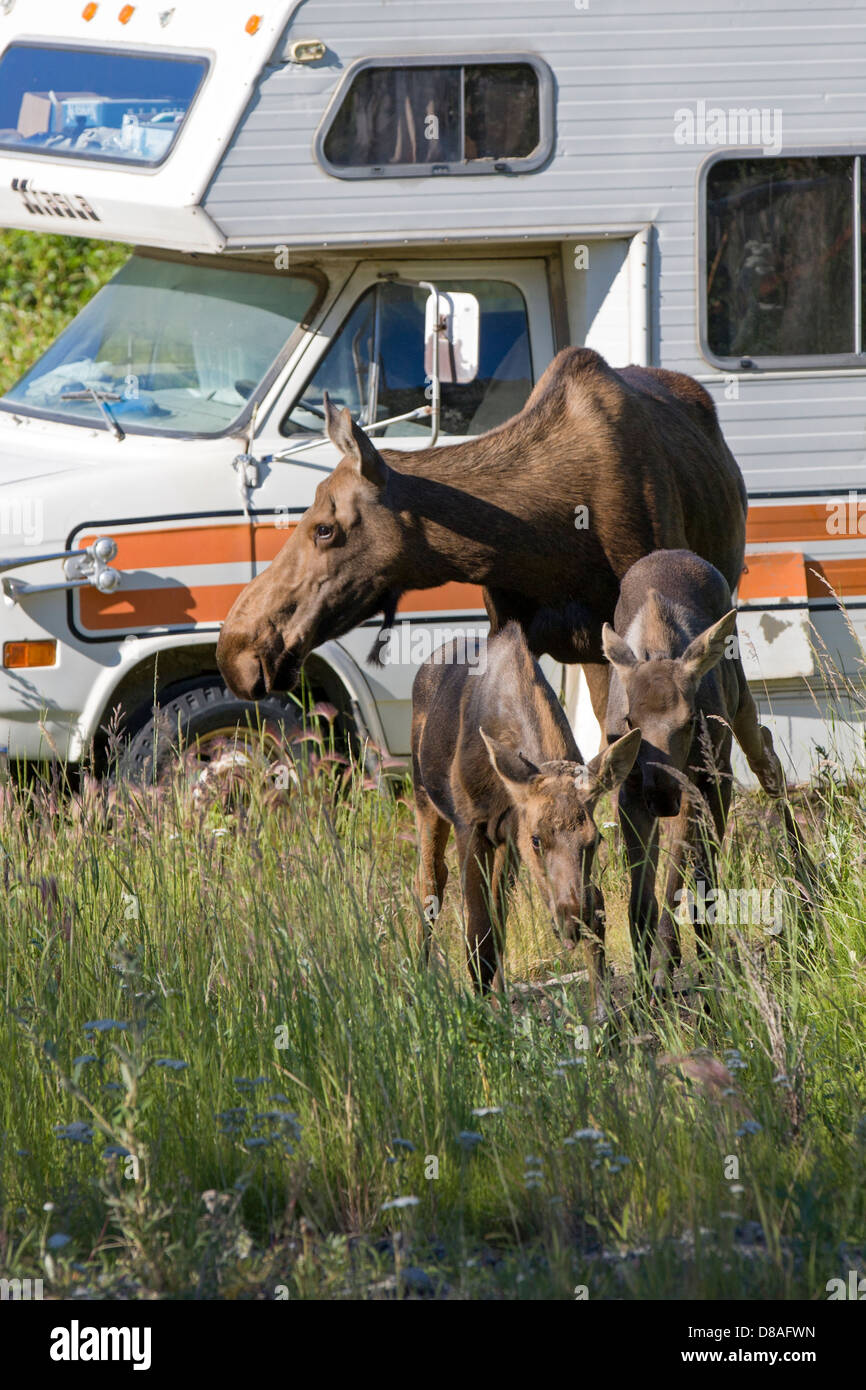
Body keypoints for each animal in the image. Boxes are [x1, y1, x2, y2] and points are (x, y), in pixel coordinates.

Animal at [412, 620, 641, 1015]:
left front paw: (603, 1011)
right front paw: (484, 1016)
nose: (569, 920)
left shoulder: (512, 833)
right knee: (430, 884)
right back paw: (422, 979)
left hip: (503, 844)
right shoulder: (472, 826)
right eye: (537, 839)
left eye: (595, 839)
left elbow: (596, 911)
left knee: (498, 906)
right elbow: (477, 932)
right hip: (425, 802)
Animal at [601, 549, 815, 995]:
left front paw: (664, 964)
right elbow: (639, 895)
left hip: (735, 724)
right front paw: (641, 977)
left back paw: (805, 875)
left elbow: (677, 874)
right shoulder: (630, 789)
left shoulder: (698, 780)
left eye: (688, 720)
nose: (661, 794)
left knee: (767, 762)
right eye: (630, 721)